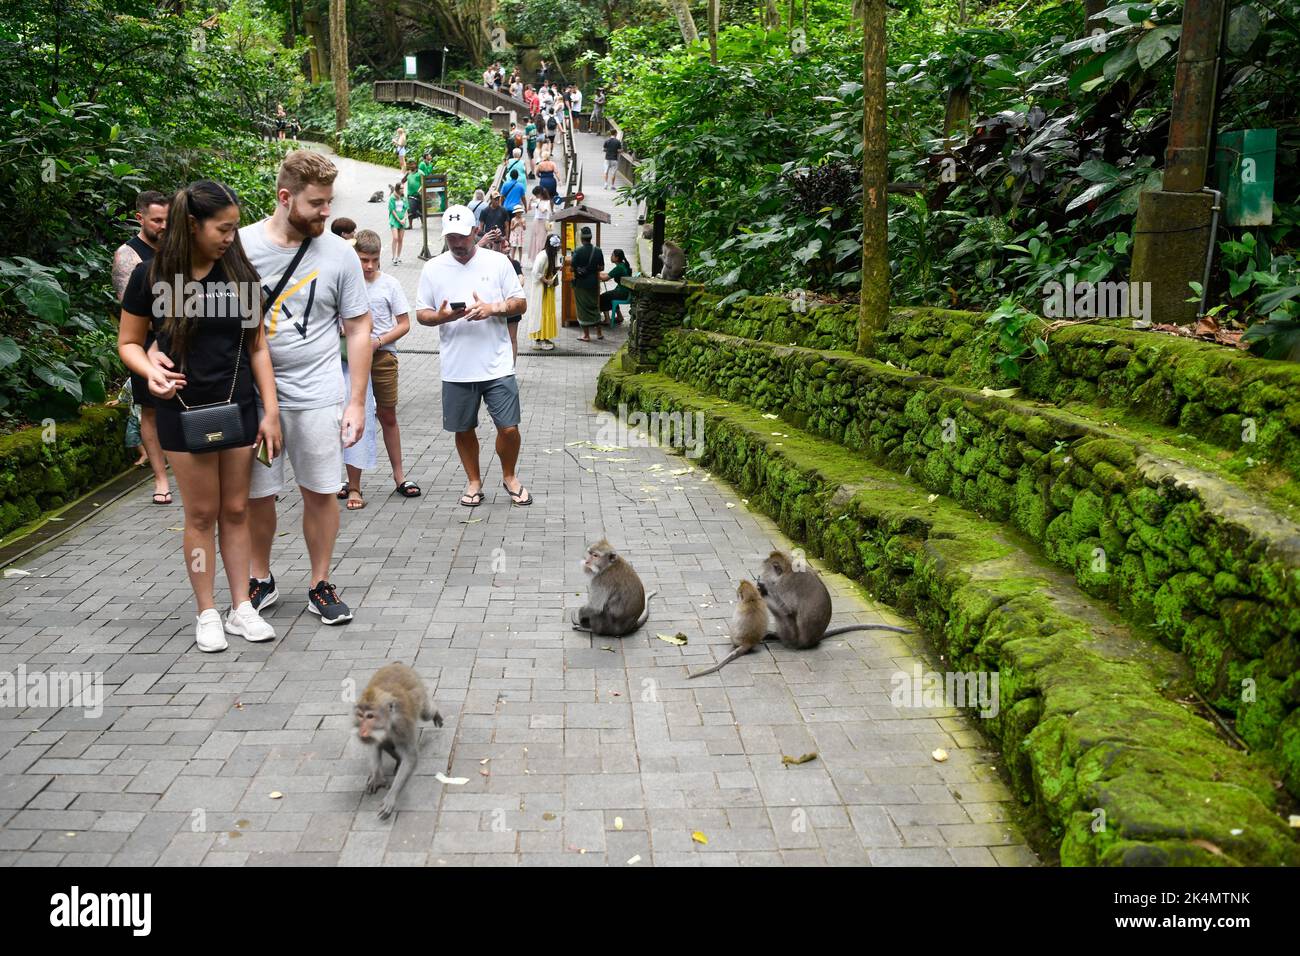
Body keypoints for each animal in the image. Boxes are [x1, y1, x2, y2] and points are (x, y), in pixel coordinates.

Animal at [354, 663, 443, 820]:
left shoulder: (402, 726)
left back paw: (435, 712)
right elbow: (375, 744)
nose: (362, 728)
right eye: (360, 715)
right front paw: (377, 778)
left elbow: (410, 757)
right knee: (384, 743)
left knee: (426, 713)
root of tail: (396, 664)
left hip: (419, 690)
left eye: (370, 716)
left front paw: (391, 797)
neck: (389, 721)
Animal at [757, 550, 912, 649]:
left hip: (794, 636)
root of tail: (814, 639)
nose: (761, 578)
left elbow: (788, 610)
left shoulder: (783, 586)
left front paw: (763, 590)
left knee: (784, 616)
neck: (788, 569)